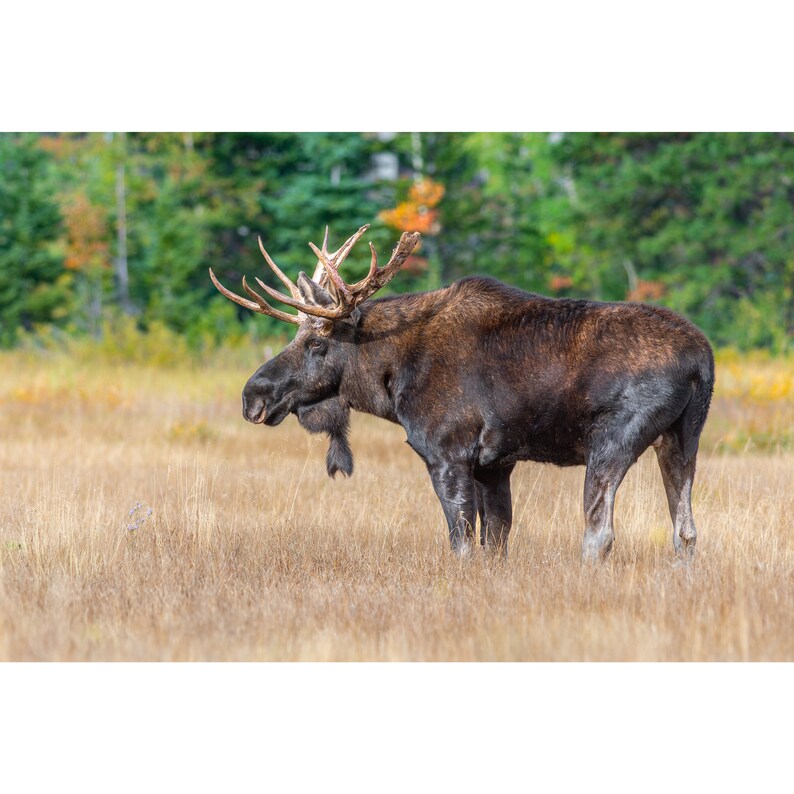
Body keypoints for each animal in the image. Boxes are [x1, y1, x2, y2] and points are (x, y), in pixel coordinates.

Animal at [210, 224, 714, 562]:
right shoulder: (495, 464)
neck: (391, 379)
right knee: (686, 531)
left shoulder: (447, 454)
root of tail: (702, 362)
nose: (253, 396)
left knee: (600, 534)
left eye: (317, 344)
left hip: (612, 441)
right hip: (681, 438)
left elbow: (463, 544)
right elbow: (495, 544)